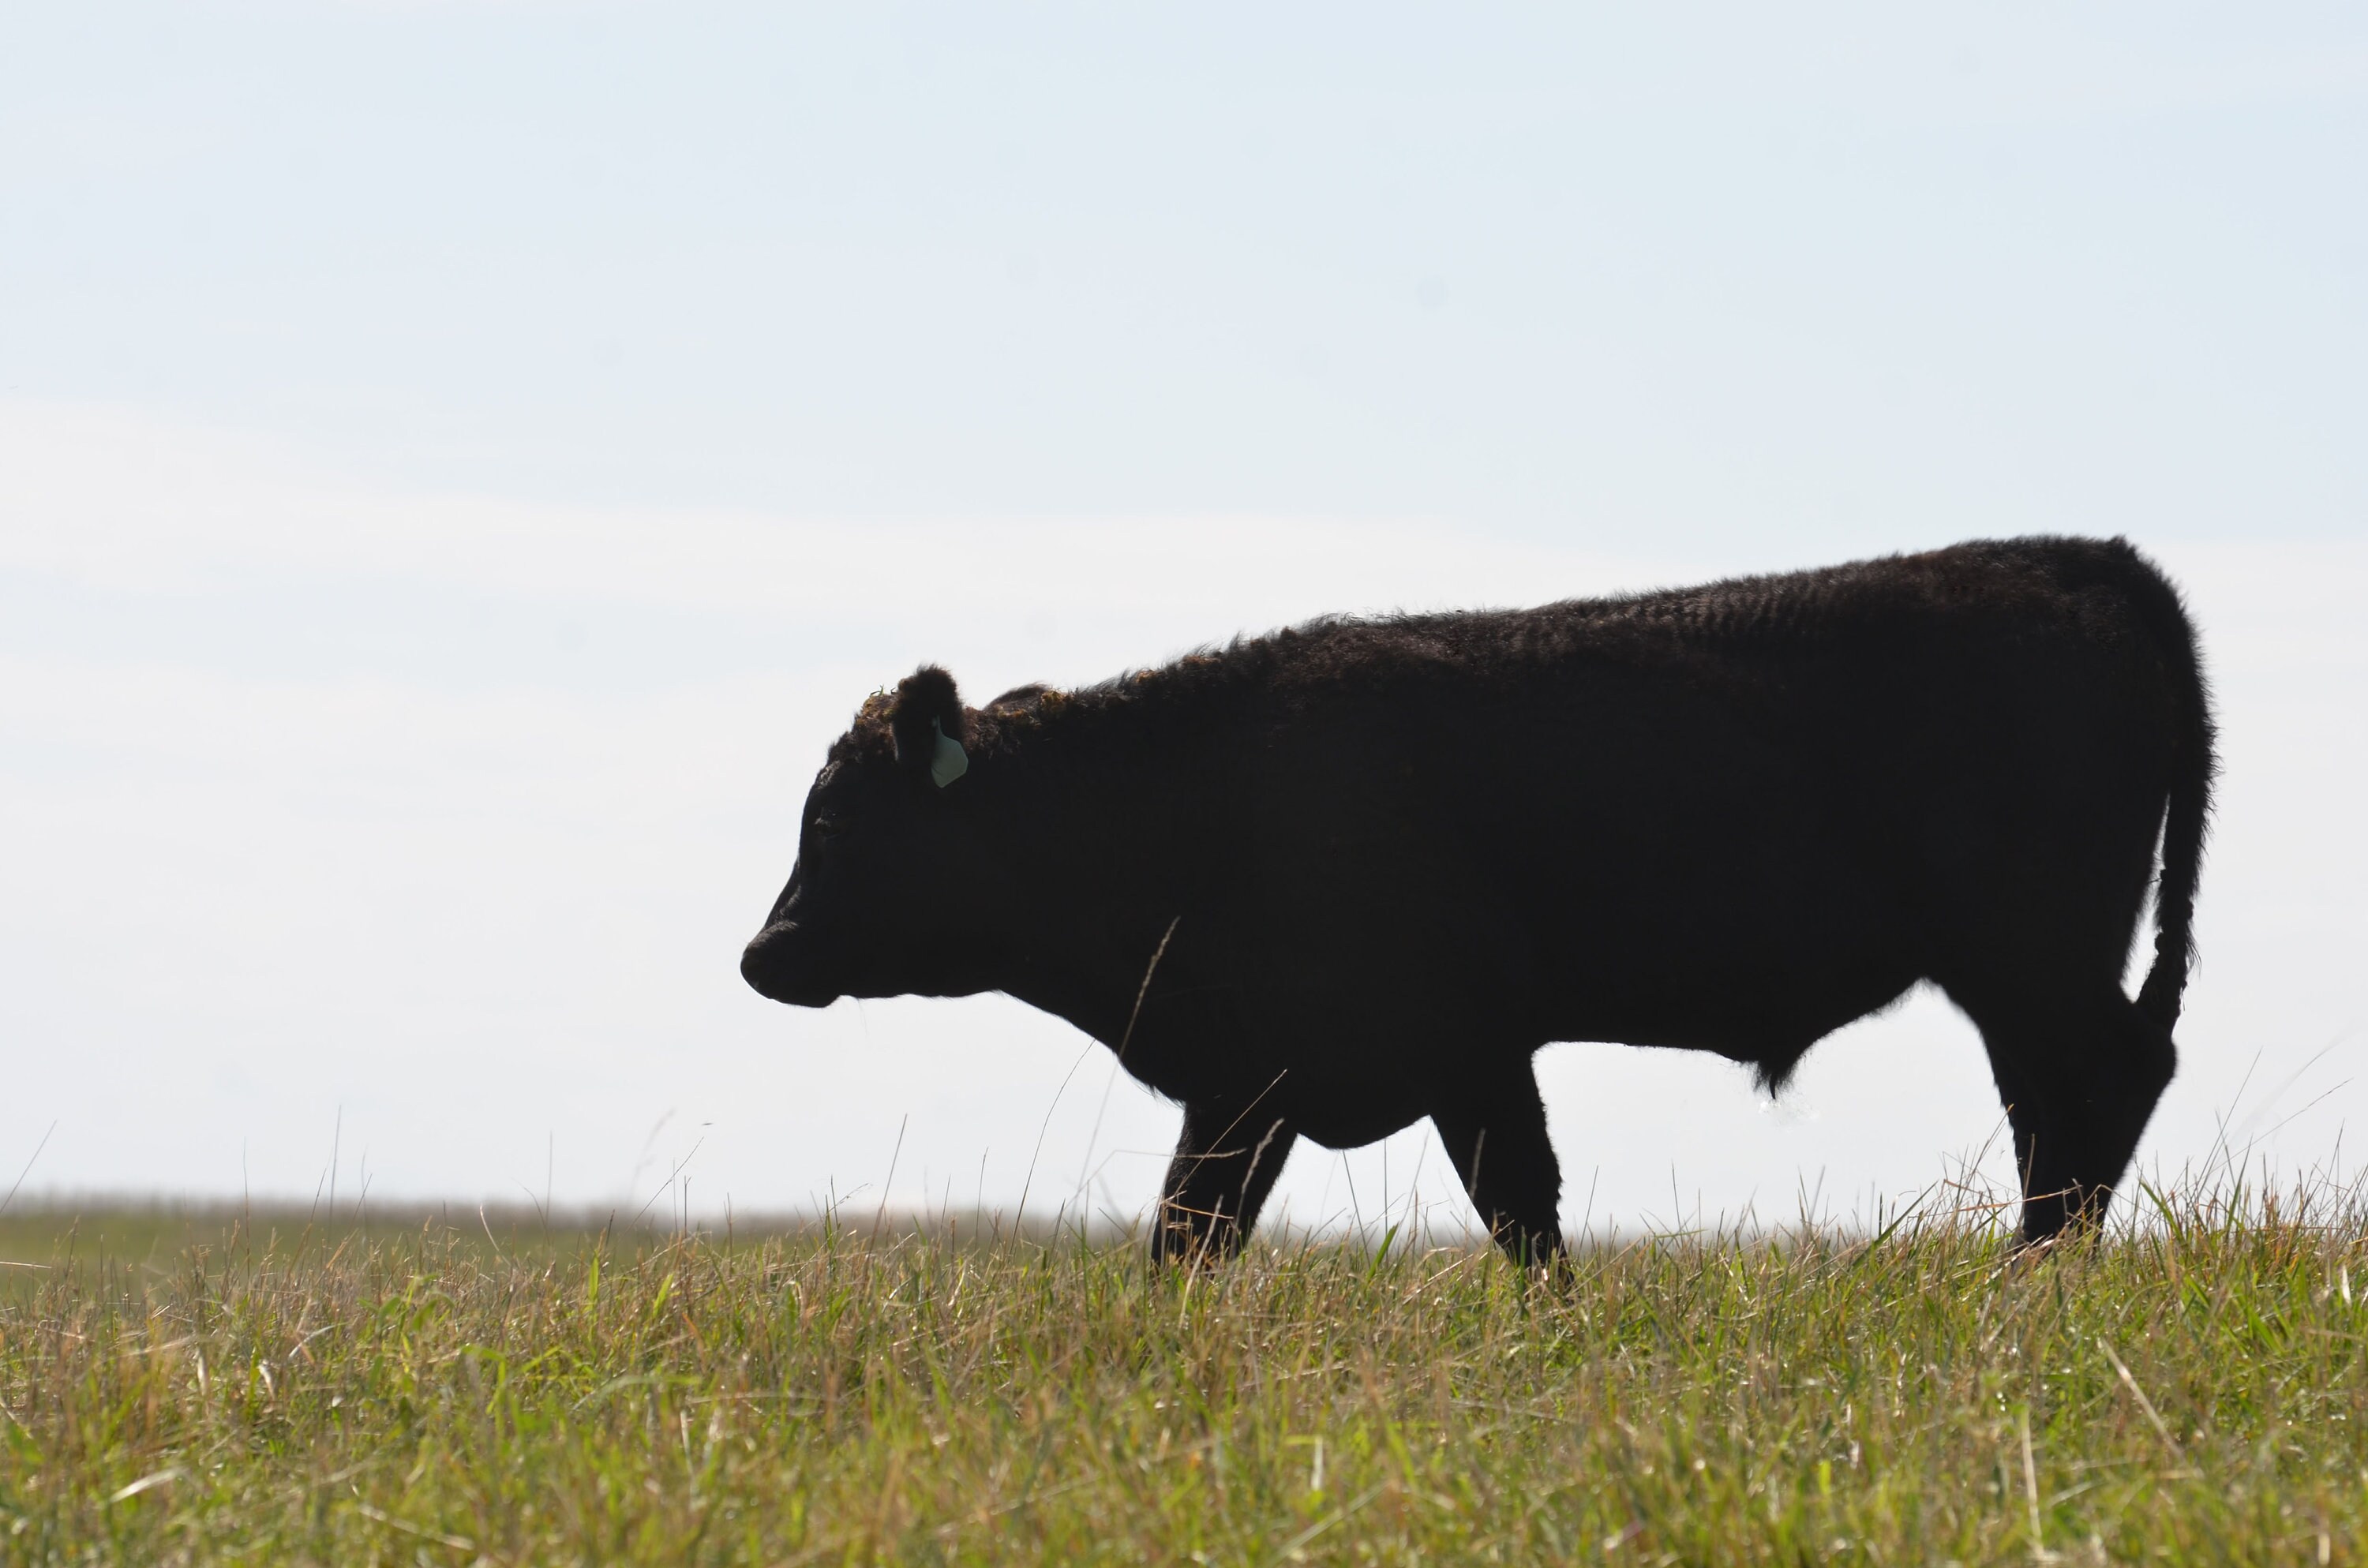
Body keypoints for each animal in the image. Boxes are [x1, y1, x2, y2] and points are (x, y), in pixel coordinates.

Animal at [741, 537, 2214, 1261]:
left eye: (836, 819)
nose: (764, 952)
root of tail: (2075, 554)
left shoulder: (1422, 1054)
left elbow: (1516, 1216)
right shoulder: (1278, 1081)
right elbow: (1196, 1235)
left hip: (2030, 956)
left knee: (2106, 1086)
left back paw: (2032, 1290)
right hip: (2019, 975)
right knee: (2058, 1119)